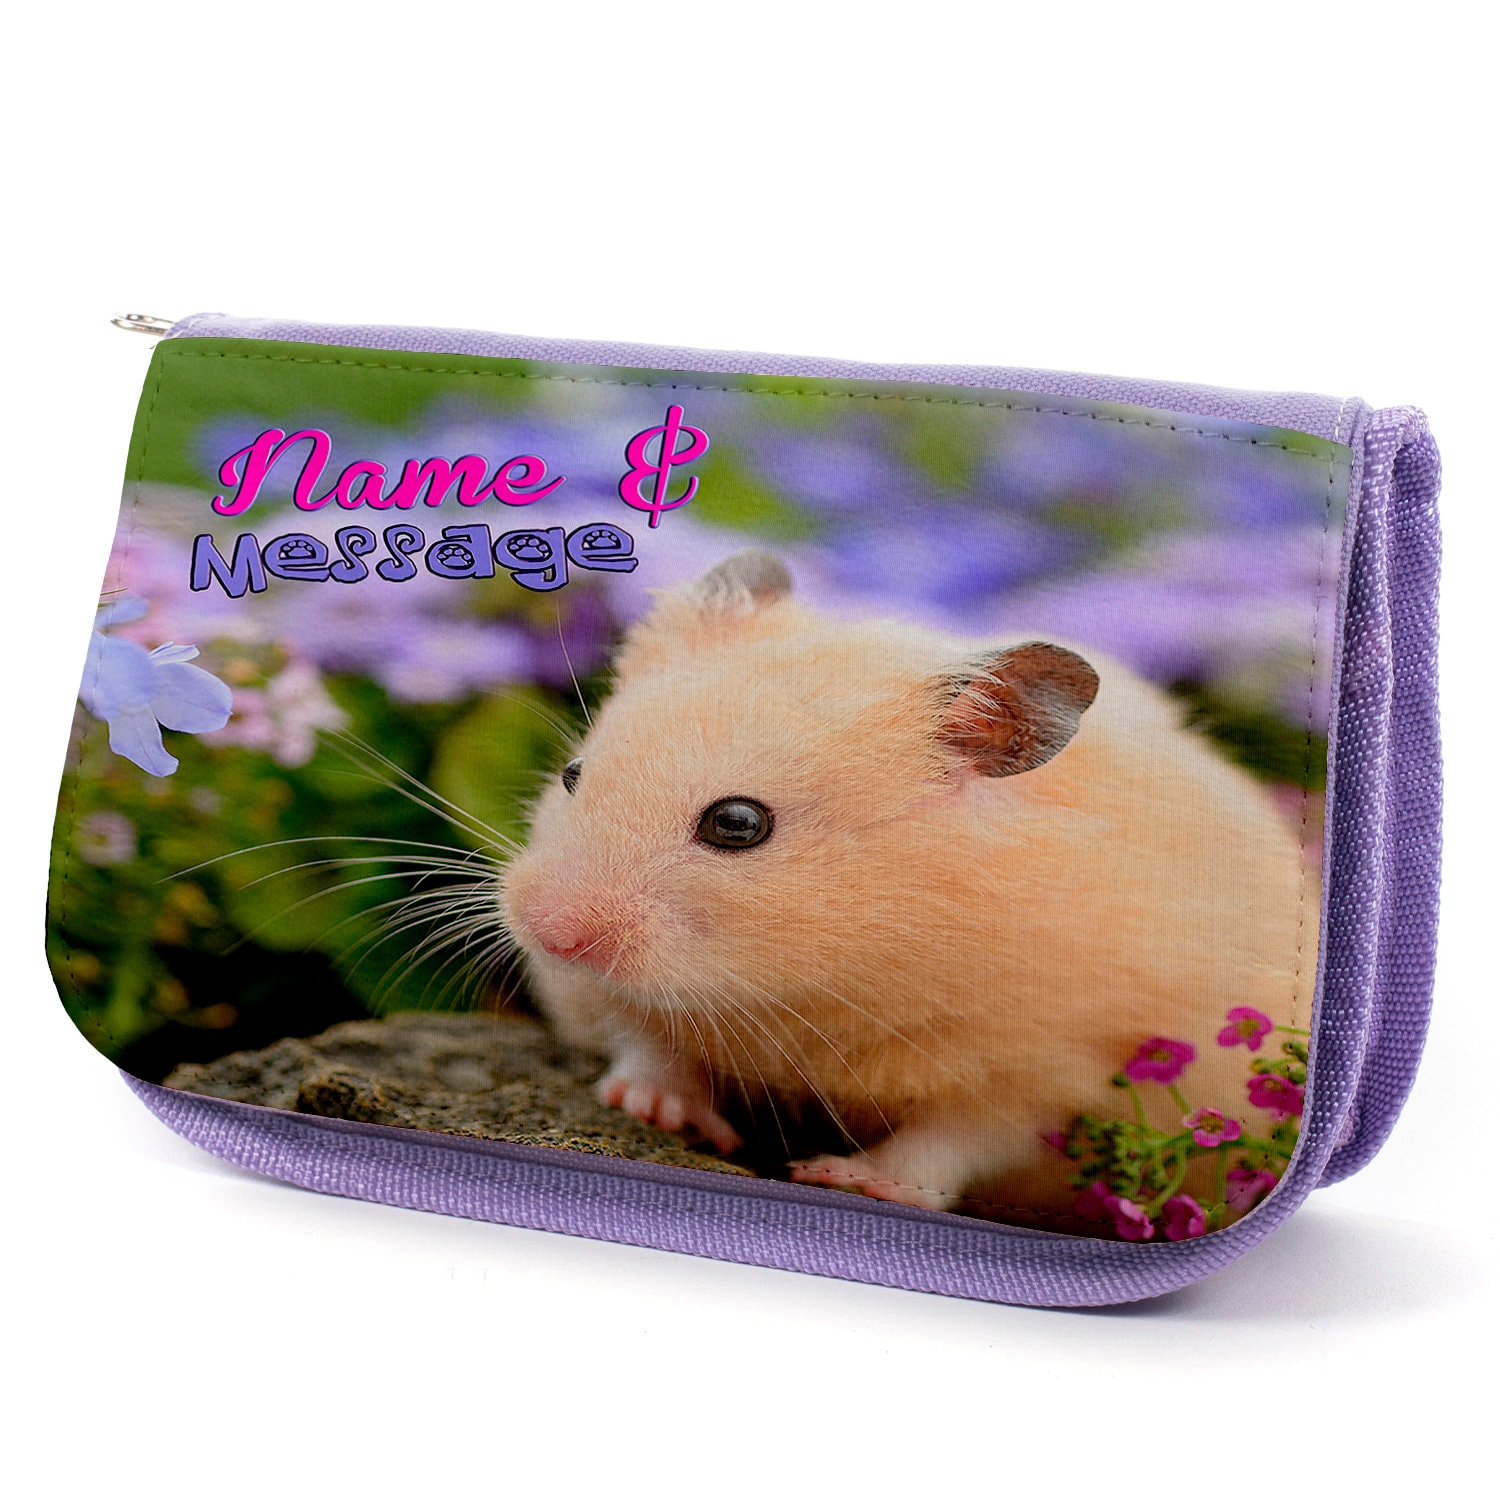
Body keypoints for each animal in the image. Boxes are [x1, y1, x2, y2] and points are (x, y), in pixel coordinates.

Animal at [499, 549, 1314, 1222]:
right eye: (572, 776)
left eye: (737, 824)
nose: (552, 933)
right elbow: (644, 1039)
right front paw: (657, 1110)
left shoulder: (1045, 1072)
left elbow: (952, 1142)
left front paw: (842, 1178)